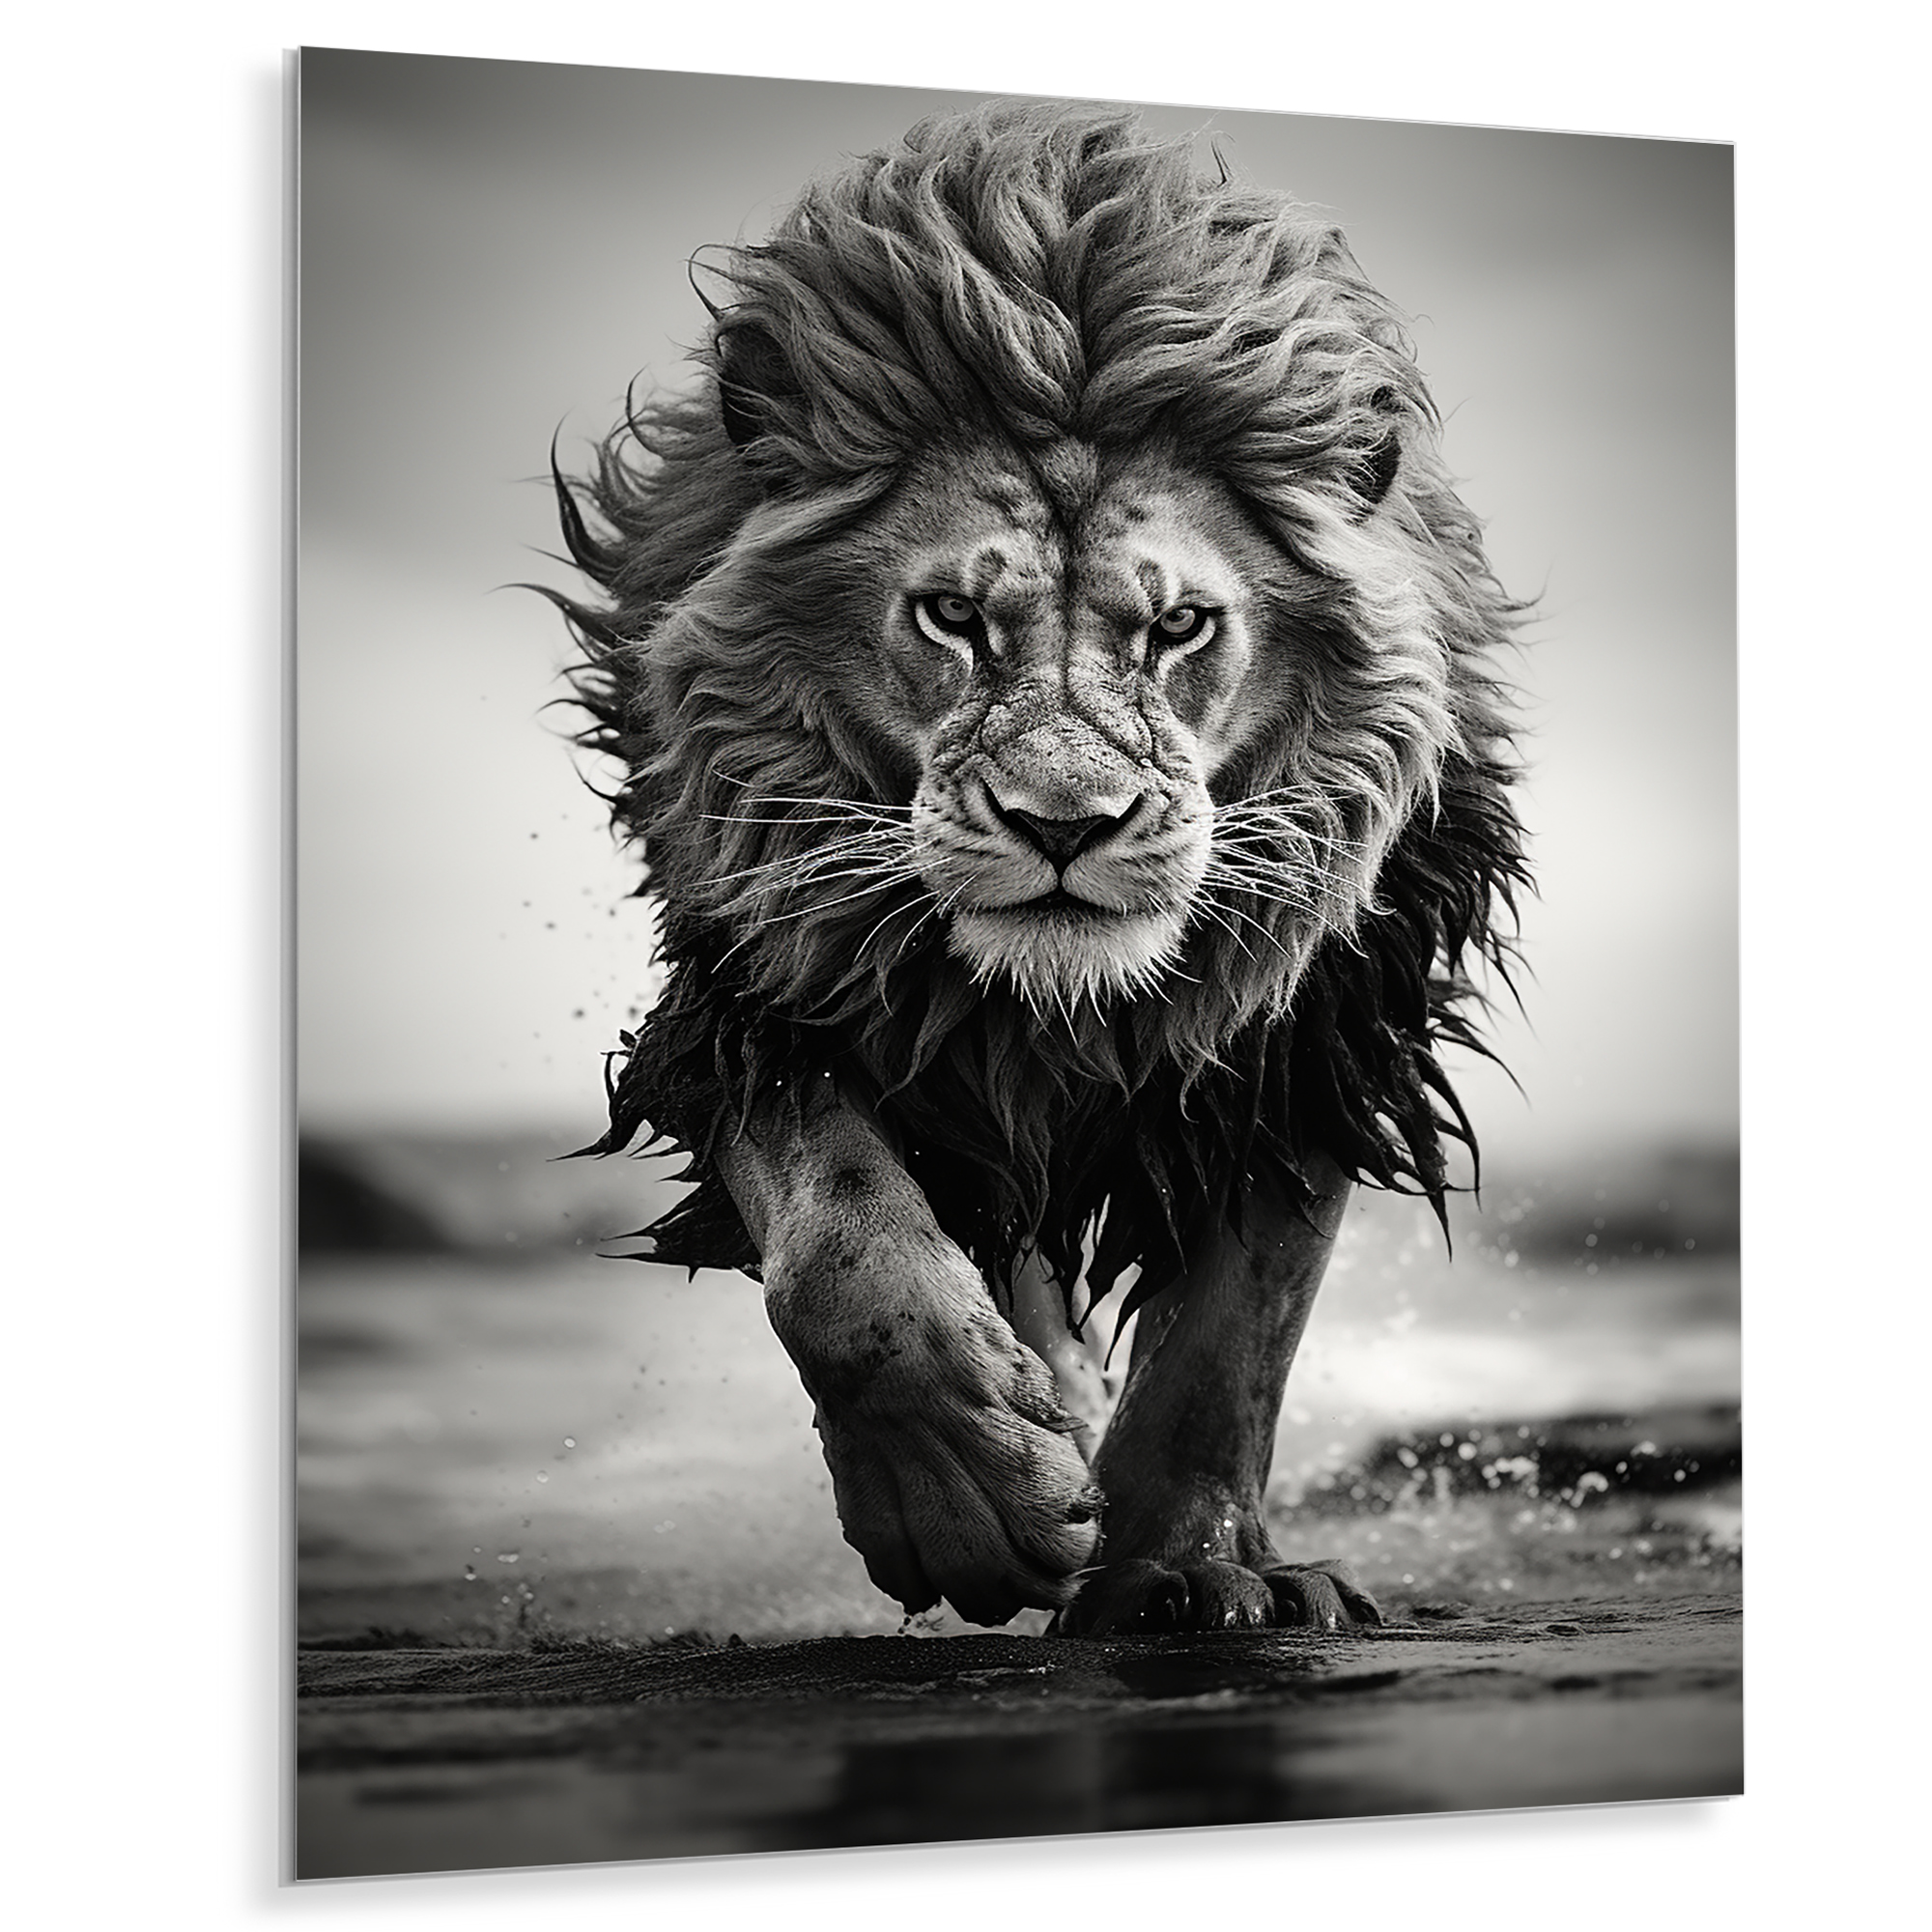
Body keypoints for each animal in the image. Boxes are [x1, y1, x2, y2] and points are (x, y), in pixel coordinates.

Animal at [547, 101, 1525, 1636]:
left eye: (1180, 628)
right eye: (954, 617)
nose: (1064, 825)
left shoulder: (1319, 1027)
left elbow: (1231, 1335)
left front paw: (1182, 1566)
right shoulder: (760, 990)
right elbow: (844, 1257)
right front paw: (965, 1504)